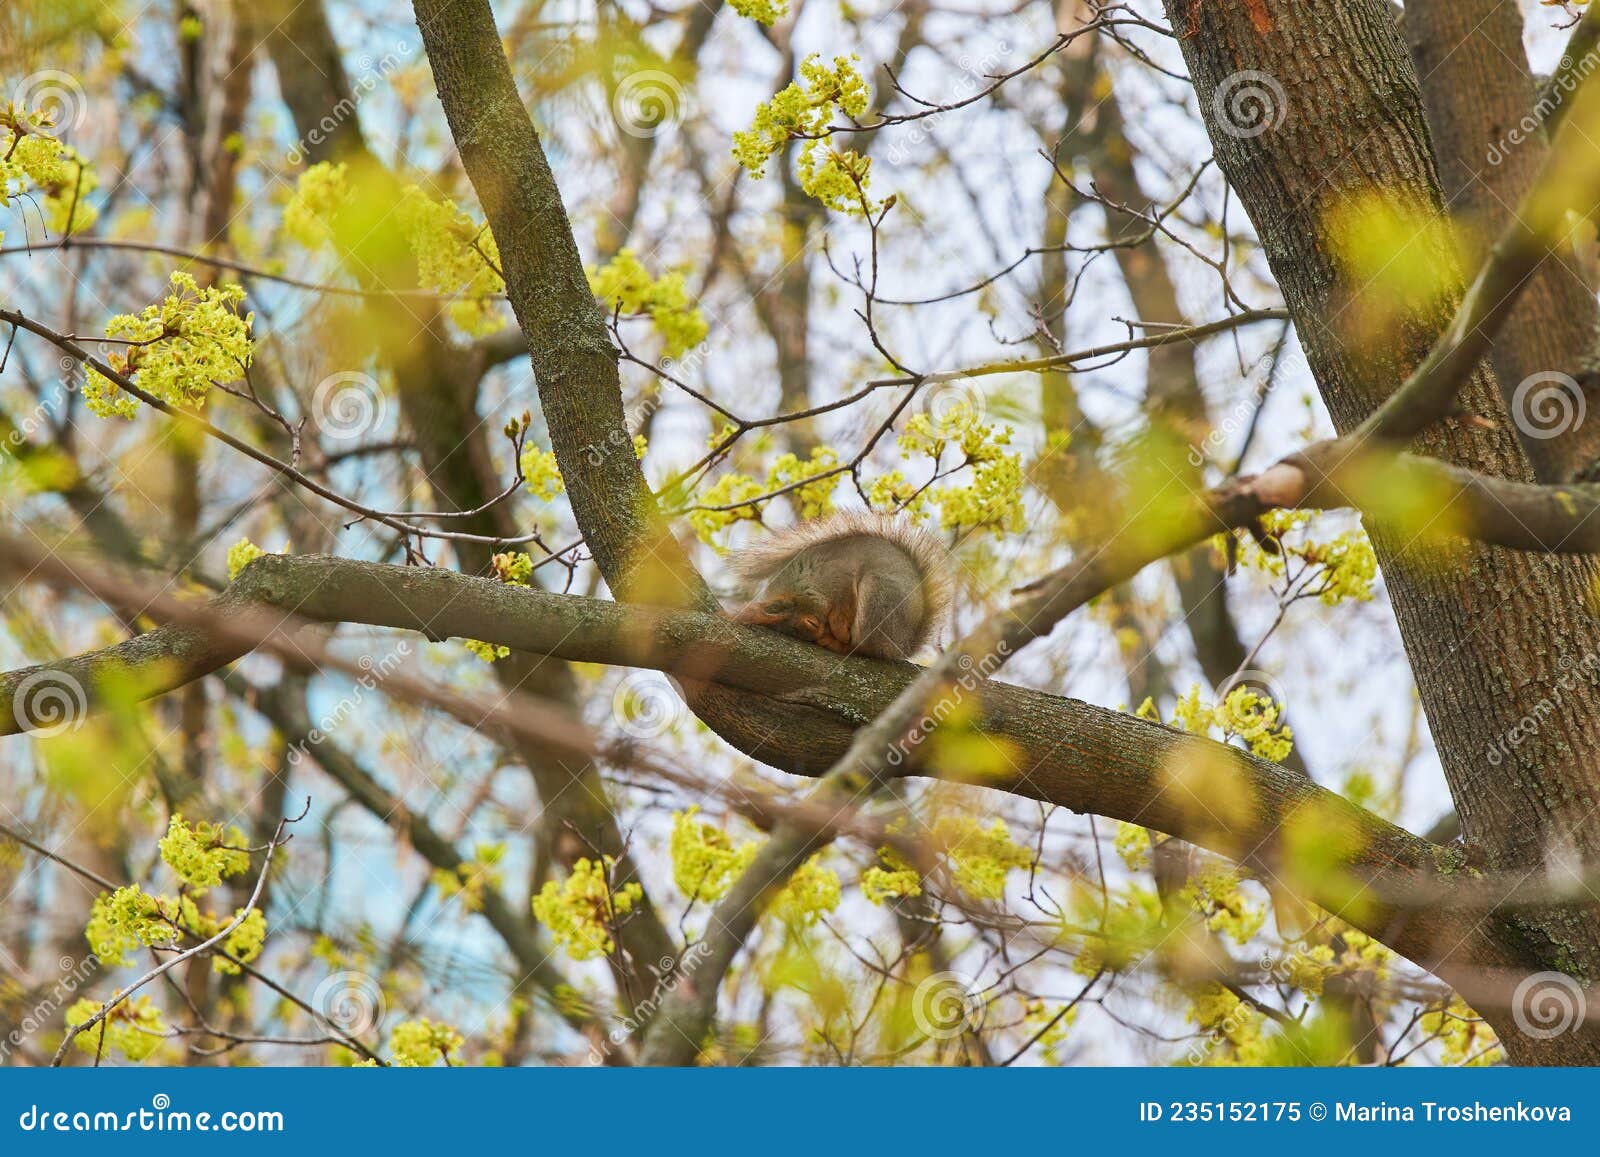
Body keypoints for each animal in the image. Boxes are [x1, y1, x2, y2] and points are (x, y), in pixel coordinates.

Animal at [727, 511, 954, 660]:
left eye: (812, 624)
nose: (818, 635)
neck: (803, 585)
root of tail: (902, 646)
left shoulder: (841, 576)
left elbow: (843, 606)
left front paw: (839, 630)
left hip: (878, 597)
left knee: (863, 648)